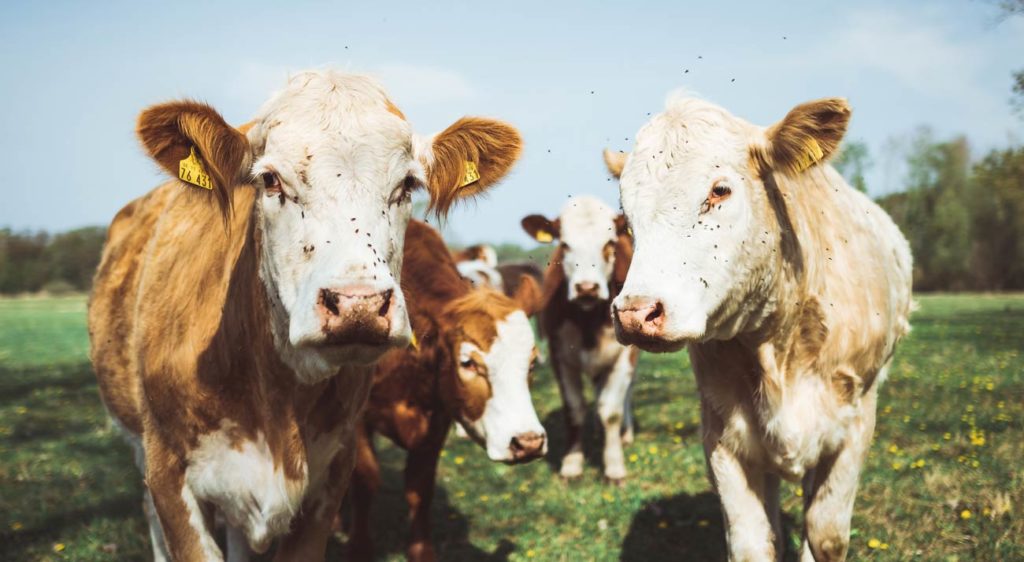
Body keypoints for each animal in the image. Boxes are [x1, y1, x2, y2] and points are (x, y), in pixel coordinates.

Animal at [347, 220, 545, 562]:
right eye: (468, 363)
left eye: (532, 363)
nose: (529, 442)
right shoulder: (355, 420)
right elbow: (364, 479)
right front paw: (359, 548)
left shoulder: (438, 419)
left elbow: (420, 487)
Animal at [521, 196, 638, 484]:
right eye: (564, 244)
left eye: (609, 243)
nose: (587, 288)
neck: (589, 321)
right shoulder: (559, 356)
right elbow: (574, 410)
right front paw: (572, 464)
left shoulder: (625, 356)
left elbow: (611, 411)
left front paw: (614, 466)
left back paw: (625, 432)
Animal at [606, 95, 913, 561]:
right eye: (626, 214)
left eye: (720, 190)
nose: (635, 313)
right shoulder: (722, 431)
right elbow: (752, 541)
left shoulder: (856, 420)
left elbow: (826, 534)